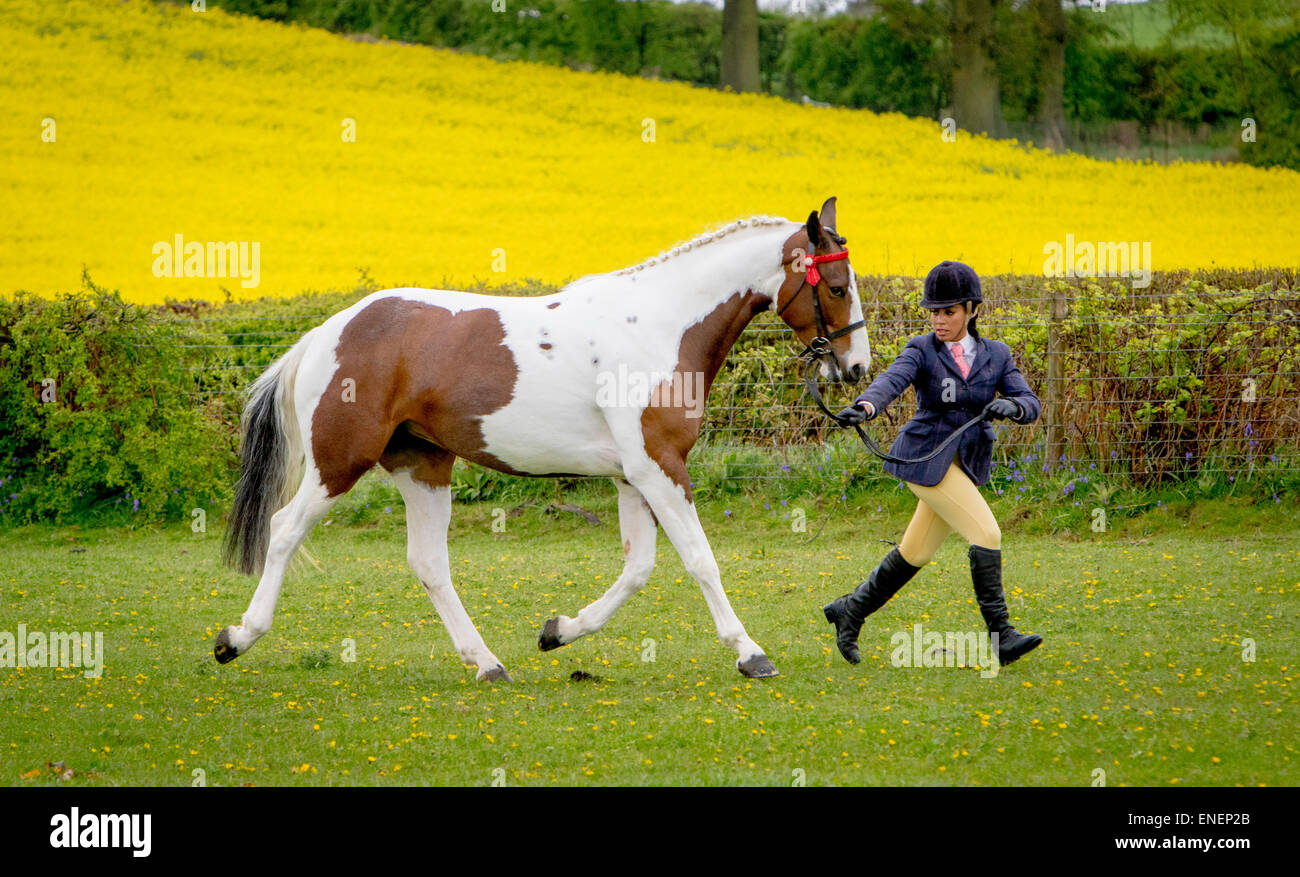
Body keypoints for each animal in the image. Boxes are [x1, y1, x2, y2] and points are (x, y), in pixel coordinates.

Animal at [217, 196, 871, 681]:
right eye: (837, 287)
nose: (857, 367)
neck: (660, 326)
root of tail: (326, 333)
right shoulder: (658, 466)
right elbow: (699, 558)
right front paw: (750, 653)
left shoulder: (634, 476)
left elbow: (639, 567)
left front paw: (559, 631)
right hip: (340, 463)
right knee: (284, 530)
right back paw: (236, 638)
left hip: (422, 466)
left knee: (428, 562)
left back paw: (487, 663)